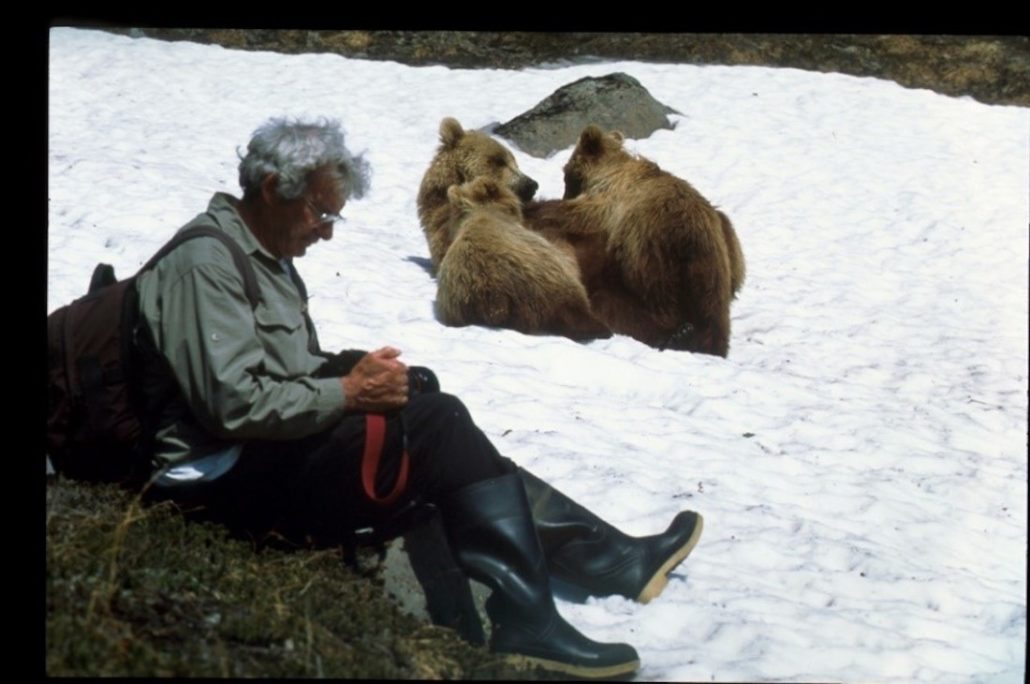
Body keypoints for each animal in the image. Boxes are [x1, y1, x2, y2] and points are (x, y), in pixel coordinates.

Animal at [525, 124, 746, 356]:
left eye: (567, 175)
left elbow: (576, 215)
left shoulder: (608, 204)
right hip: (720, 264)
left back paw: (672, 334)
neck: (611, 172)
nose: (566, 193)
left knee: (639, 304)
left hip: (647, 253)